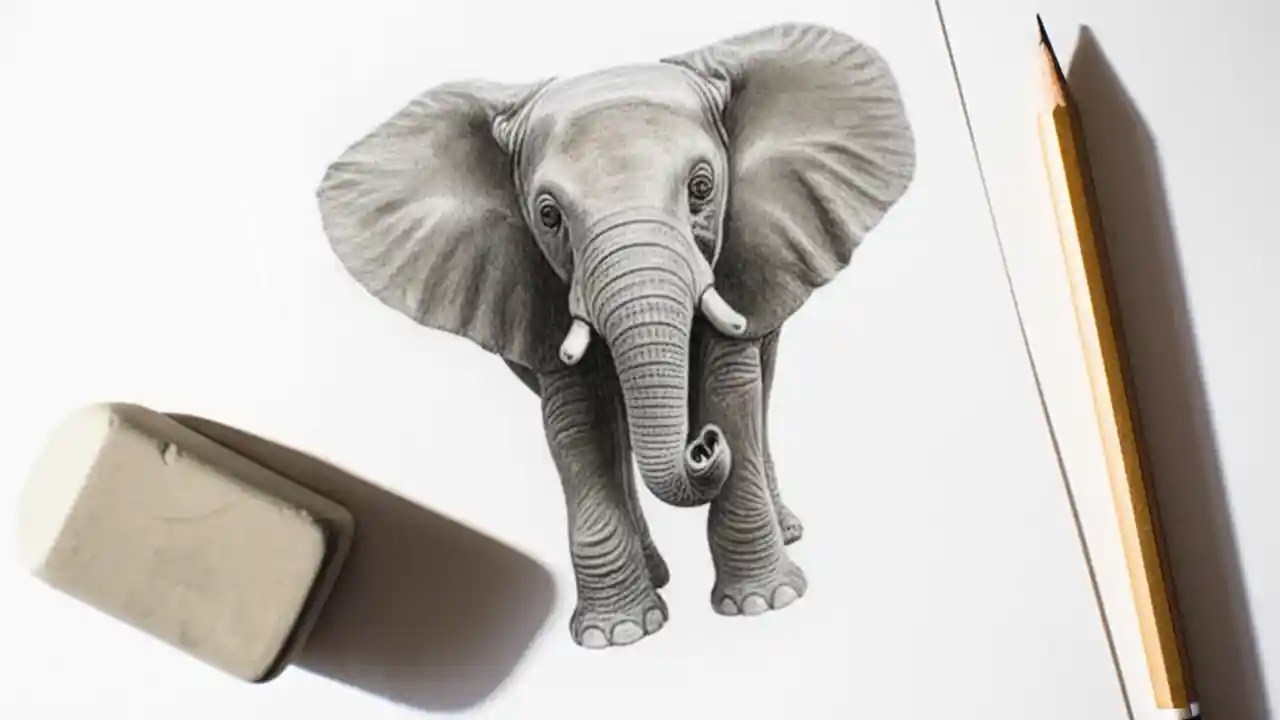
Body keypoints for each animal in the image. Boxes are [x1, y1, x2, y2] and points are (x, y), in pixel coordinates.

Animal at [316, 23, 915, 649]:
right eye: (548, 215)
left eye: (702, 187)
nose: (701, 445)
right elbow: (577, 423)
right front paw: (620, 635)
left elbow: (731, 389)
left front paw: (763, 604)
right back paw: (657, 576)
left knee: (760, 390)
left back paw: (786, 532)